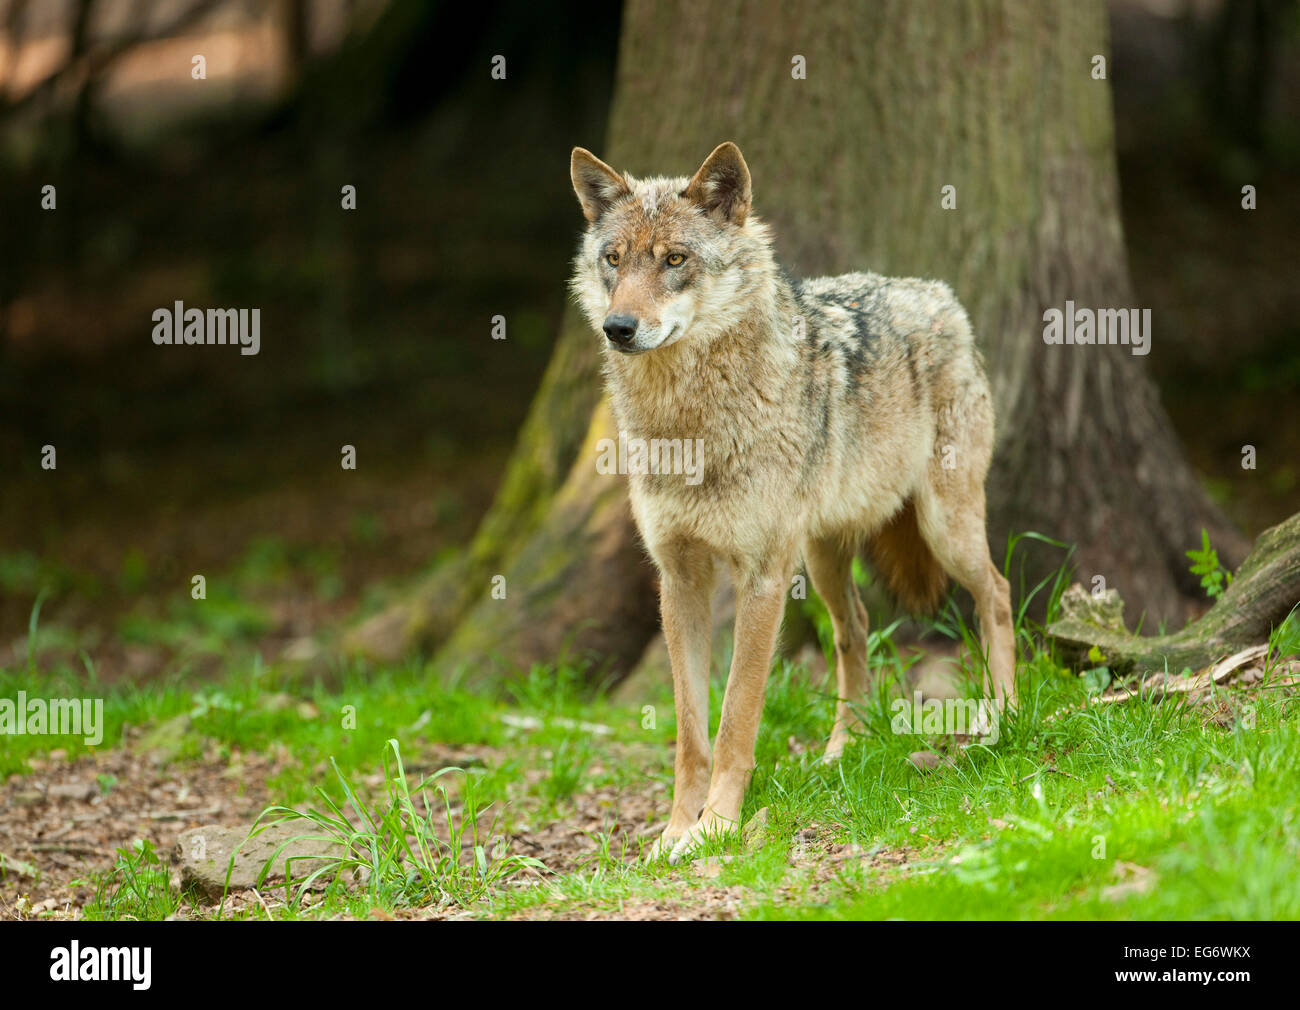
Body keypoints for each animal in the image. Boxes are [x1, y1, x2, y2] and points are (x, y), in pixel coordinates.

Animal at [569, 142, 1015, 864]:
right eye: (614, 259)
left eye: (675, 260)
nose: (618, 327)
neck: (687, 426)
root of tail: (937, 293)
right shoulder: (680, 579)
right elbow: (690, 734)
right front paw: (674, 833)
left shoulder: (762, 577)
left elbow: (735, 719)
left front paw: (717, 827)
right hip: (824, 558)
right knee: (854, 628)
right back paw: (842, 751)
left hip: (943, 529)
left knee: (996, 594)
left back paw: (1002, 716)